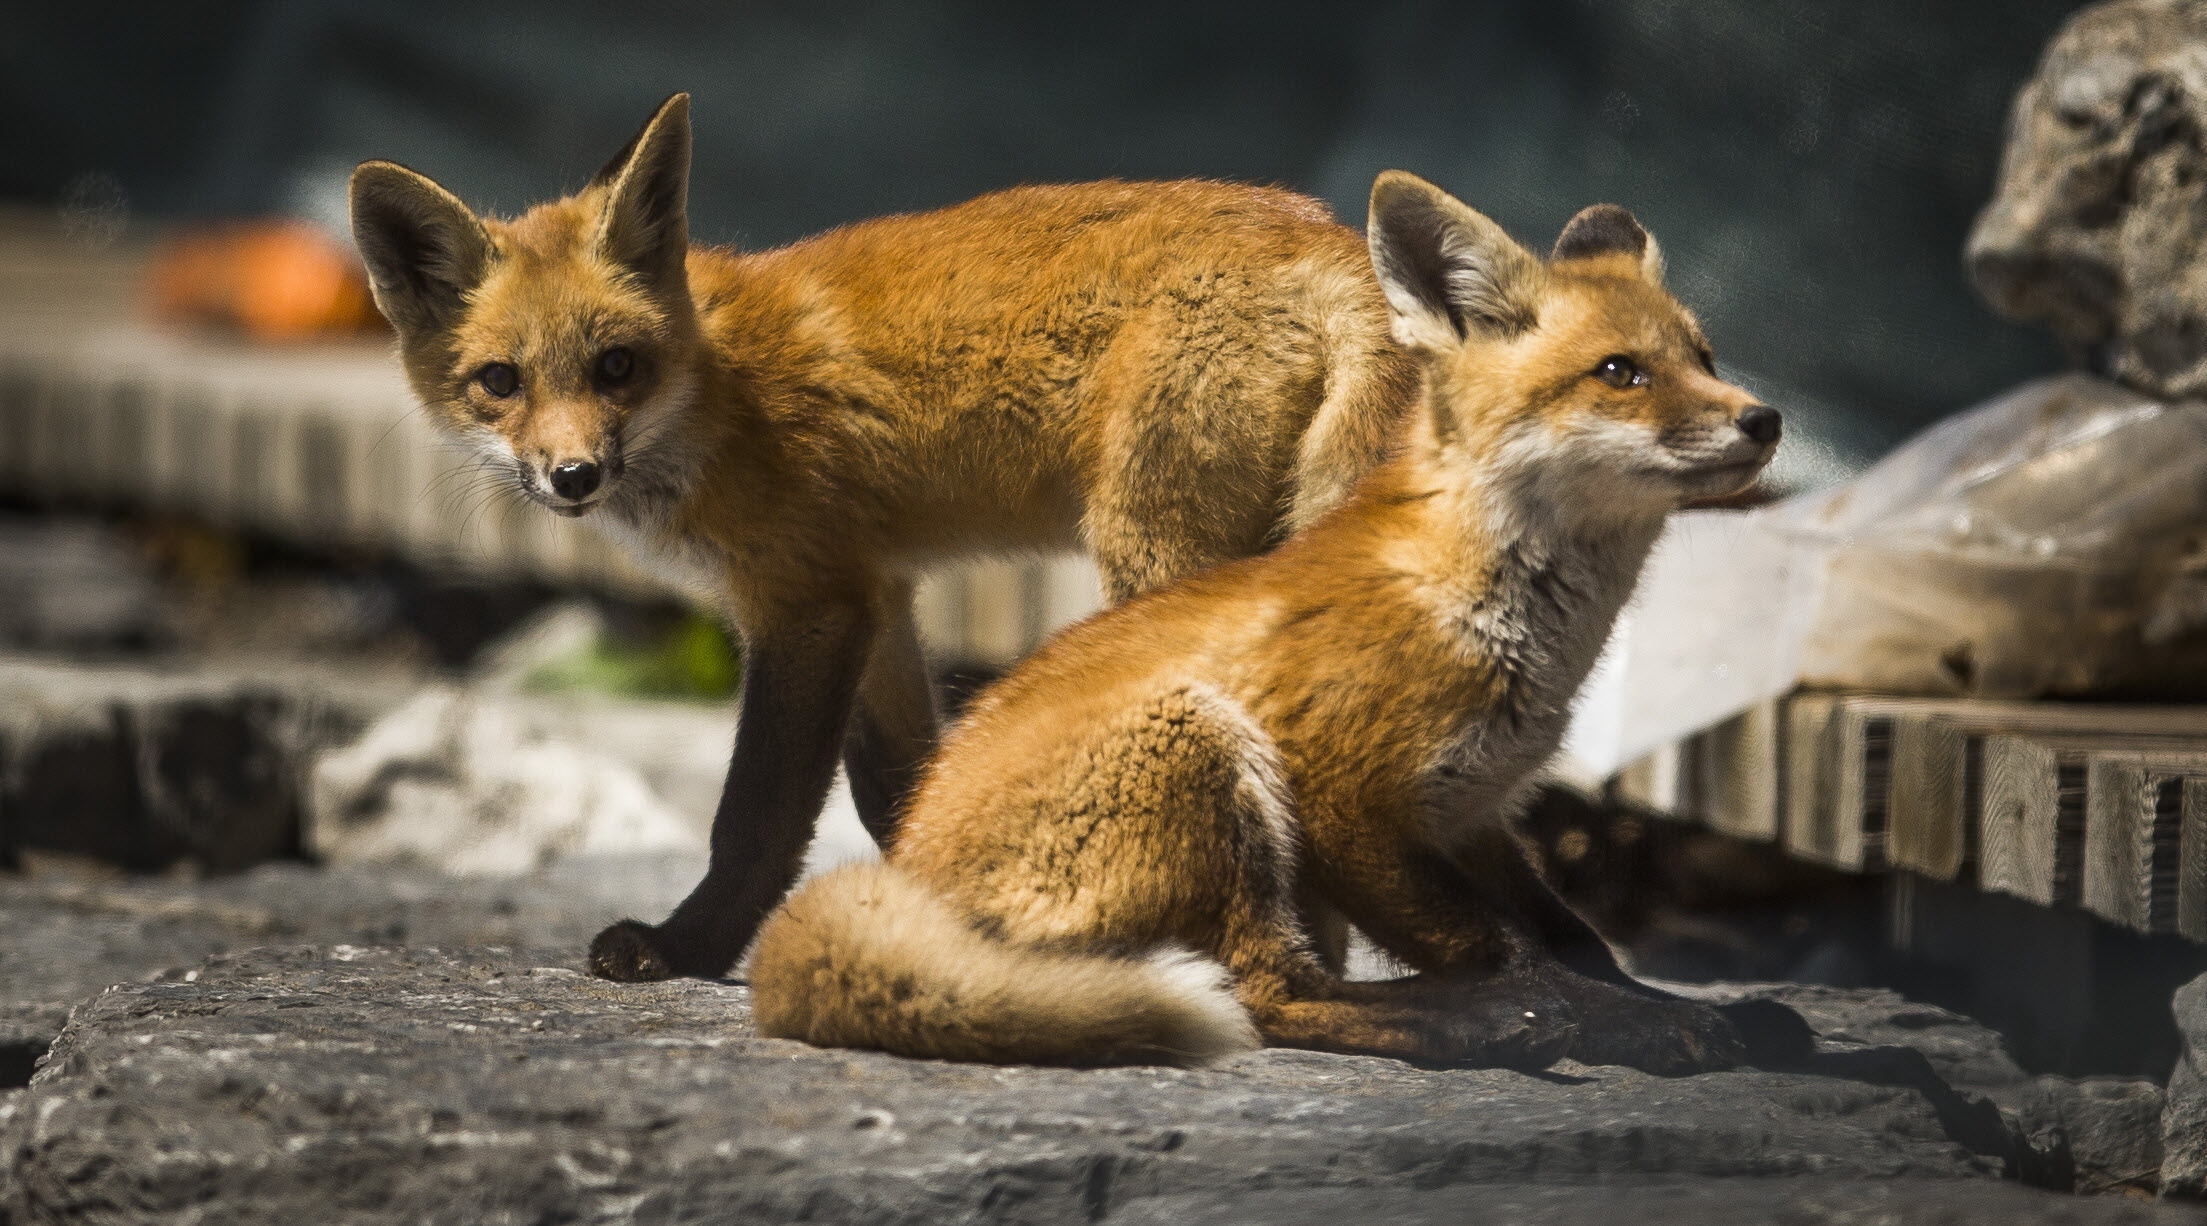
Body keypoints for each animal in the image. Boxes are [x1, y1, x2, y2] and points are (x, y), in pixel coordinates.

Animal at [348, 95, 1415, 981]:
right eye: (500, 381)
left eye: (616, 366)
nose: (573, 477)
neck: (715, 391)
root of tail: (1325, 233)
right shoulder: (876, 593)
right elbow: (900, 792)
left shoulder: (805, 605)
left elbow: (755, 816)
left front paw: (684, 948)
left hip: (1150, 550)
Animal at [746, 172, 1809, 1074]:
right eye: (1619, 372)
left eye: (1703, 359)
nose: (1764, 419)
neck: (1500, 620)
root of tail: (911, 879)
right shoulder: (1346, 801)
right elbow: (1504, 950)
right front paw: (1628, 1025)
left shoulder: (1472, 816)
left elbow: (1570, 935)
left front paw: (1674, 1009)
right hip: (1201, 751)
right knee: (1266, 994)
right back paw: (1464, 1029)